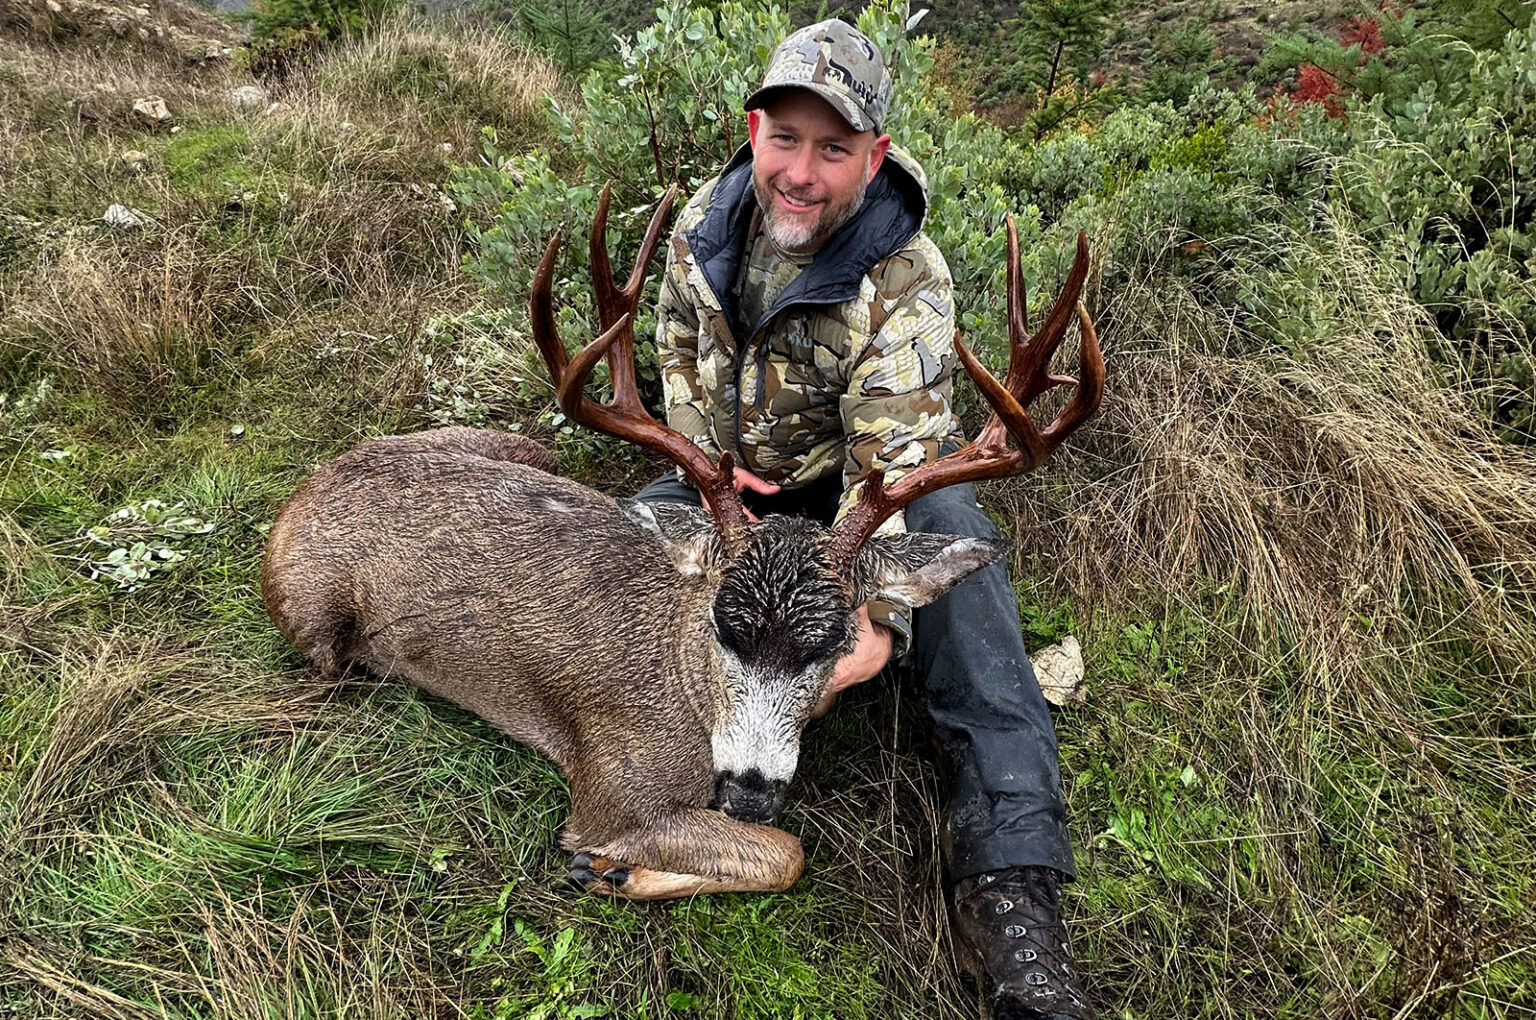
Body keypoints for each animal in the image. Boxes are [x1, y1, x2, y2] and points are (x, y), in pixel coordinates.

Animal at [259, 185, 1104, 901]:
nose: (749, 790)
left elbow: (779, 850)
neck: (688, 686)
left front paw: (619, 873)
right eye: (722, 629)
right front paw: (607, 870)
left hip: (525, 447)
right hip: (321, 626)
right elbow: (786, 853)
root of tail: (310, 484)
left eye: (830, 643)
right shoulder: (612, 787)